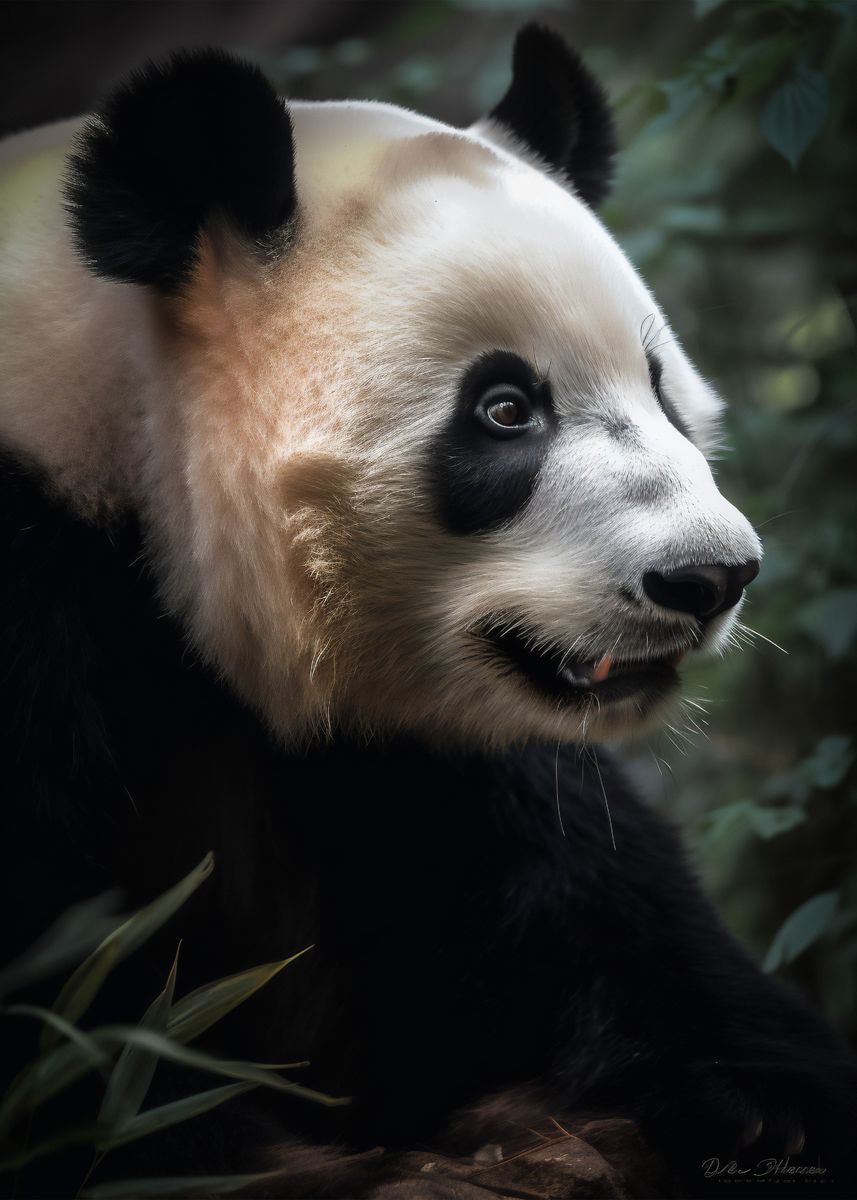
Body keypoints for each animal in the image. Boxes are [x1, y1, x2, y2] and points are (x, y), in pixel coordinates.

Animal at [1, 22, 855, 1199]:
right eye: (503, 410)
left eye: (659, 387)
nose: (707, 577)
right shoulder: (32, 579)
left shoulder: (435, 746)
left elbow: (576, 879)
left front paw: (763, 1100)